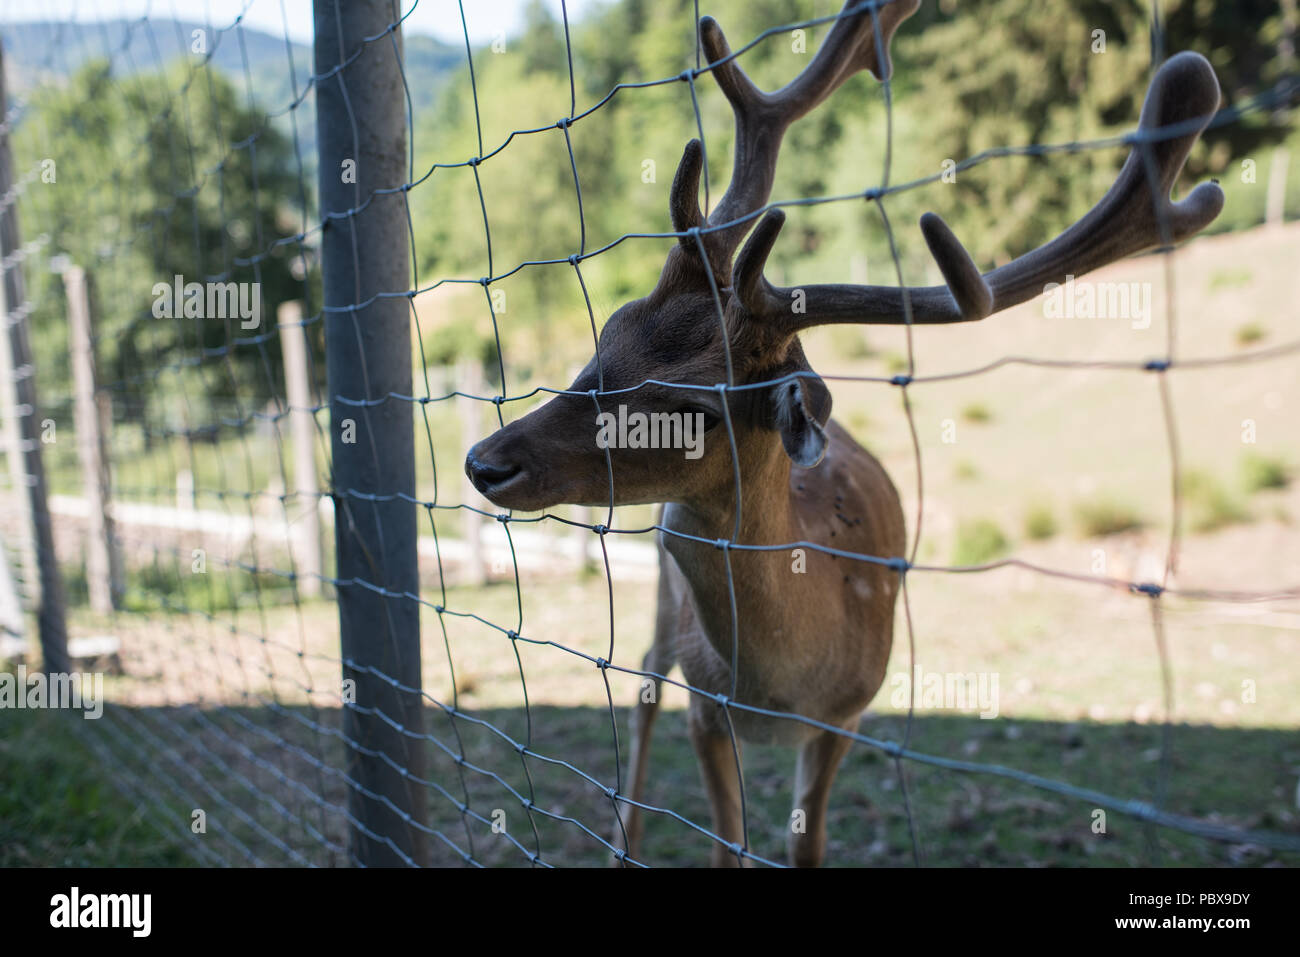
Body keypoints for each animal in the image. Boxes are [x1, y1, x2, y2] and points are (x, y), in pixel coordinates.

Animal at [464, 0, 1224, 867]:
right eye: (609, 332)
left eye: (696, 407)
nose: (484, 460)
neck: (779, 684)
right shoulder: (706, 704)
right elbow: (725, 840)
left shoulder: (849, 711)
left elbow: (806, 844)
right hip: (658, 598)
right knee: (646, 680)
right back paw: (623, 834)